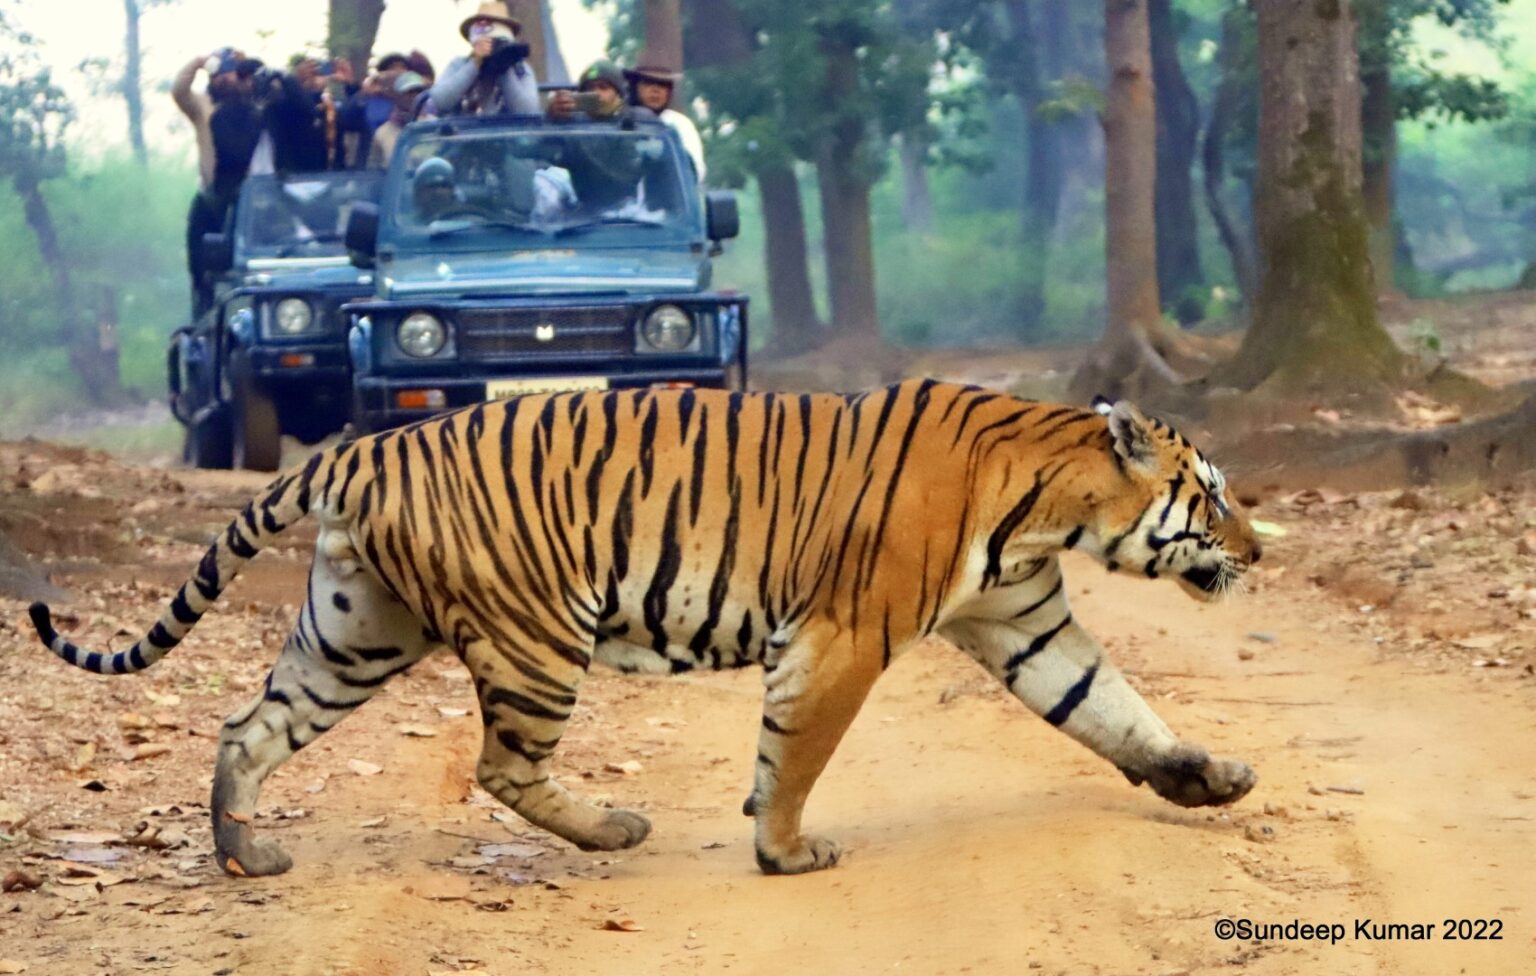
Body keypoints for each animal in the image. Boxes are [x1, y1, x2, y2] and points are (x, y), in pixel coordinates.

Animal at [28, 379, 1261, 877]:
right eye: (1211, 495)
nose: (1260, 550)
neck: (1053, 502)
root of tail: (362, 447)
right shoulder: (844, 636)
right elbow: (798, 752)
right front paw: (784, 850)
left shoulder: (1023, 622)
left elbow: (1112, 708)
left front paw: (1208, 779)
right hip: (533, 636)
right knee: (501, 764)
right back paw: (614, 829)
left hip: (352, 634)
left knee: (246, 726)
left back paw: (248, 853)